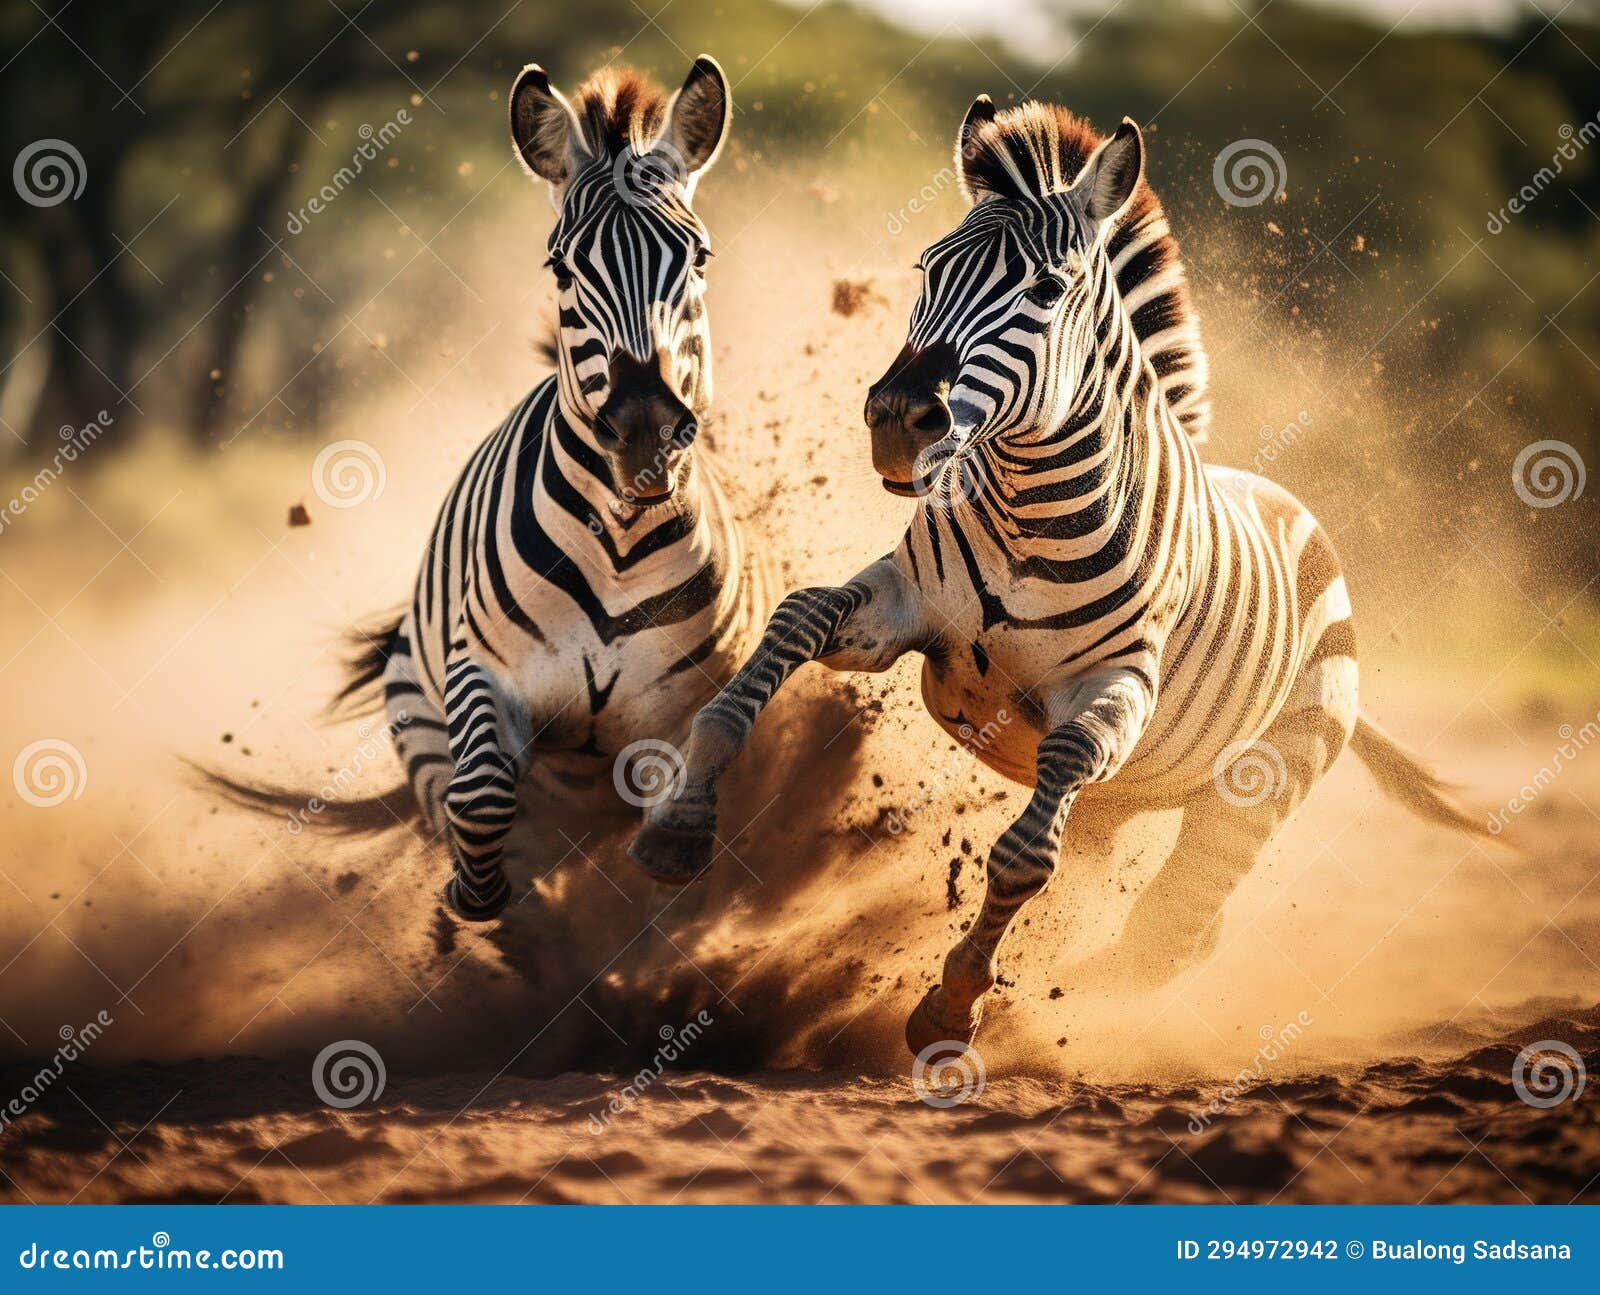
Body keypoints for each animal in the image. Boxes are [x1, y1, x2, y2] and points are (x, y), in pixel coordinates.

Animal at [345, 56, 767, 921]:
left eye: (699, 258)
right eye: (561, 268)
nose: (643, 429)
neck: (621, 542)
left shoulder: (681, 707)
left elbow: (682, 795)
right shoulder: (487, 675)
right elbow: (480, 803)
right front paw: (481, 899)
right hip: (416, 711)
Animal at [628, 99, 1483, 1057]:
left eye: (1044, 290)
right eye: (926, 268)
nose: (895, 422)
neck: (1029, 512)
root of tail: (1300, 518)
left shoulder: (1116, 686)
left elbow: (1026, 852)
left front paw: (955, 1003)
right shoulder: (905, 604)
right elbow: (791, 626)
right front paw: (680, 822)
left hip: (1261, 785)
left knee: (1175, 928)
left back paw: (1070, 1003)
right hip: (1122, 803)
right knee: (1144, 902)